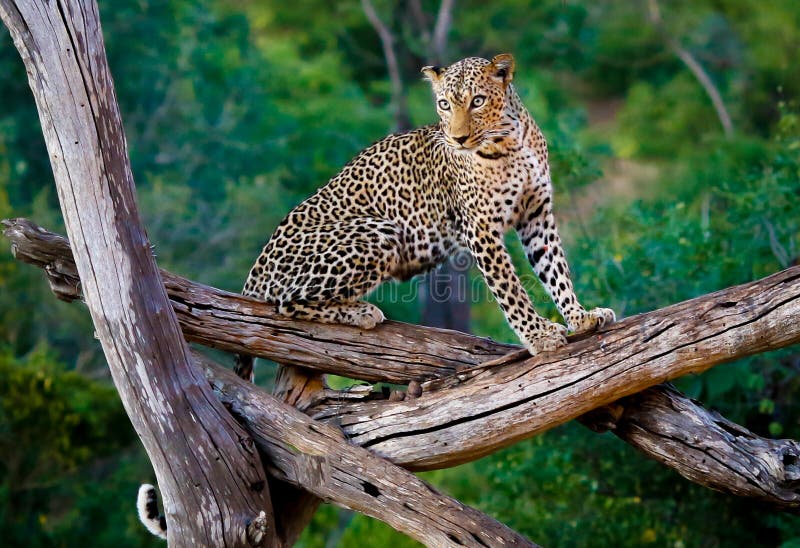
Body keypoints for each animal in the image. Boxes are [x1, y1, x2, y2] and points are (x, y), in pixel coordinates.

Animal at [235, 53, 615, 381]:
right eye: (444, 104)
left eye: (477, 101)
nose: (458, 138)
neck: (511, 144)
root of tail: (258, 266)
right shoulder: (482, 228)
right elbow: (510, 289)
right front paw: (539, 335)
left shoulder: (537, 216)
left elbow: (556, 270)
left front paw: (581, 317)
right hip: (378, 232)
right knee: (284, 303)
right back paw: (361, 312)